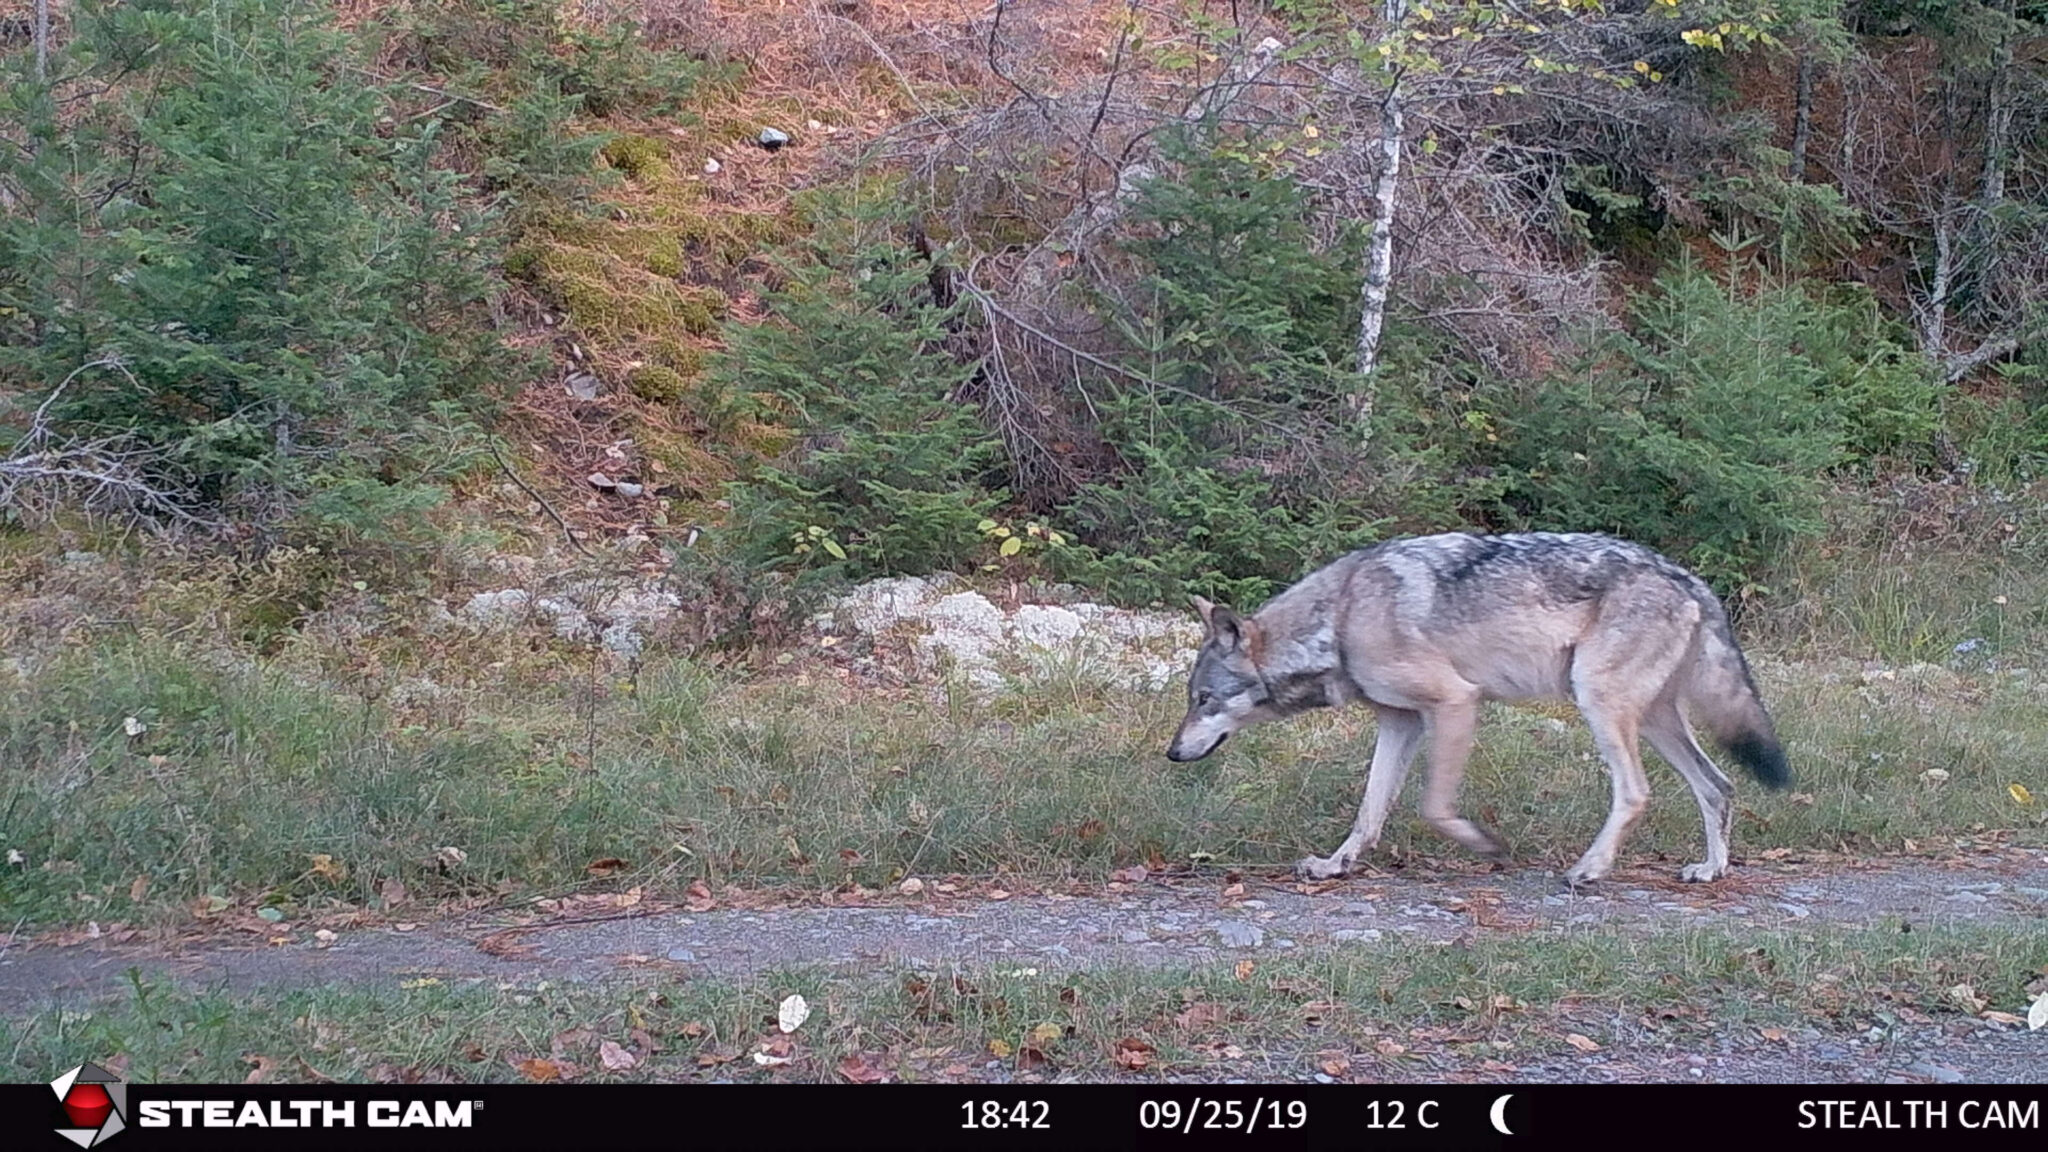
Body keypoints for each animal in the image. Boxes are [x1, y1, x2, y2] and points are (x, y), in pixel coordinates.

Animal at [1165, 532, 1790, 885]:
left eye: (1204, 699)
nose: (1171, 753)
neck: (1339, 621)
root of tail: (1690, 579)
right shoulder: (1400, 722)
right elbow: (1369, 812)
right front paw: (1334, 866)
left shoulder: (1455, 702)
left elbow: (1433, 807)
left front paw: (1486, 846)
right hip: (1655, 720)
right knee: (1718, 786)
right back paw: (1710, 871)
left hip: (1599, 704)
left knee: (1637, 792)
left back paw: (1589, 870)